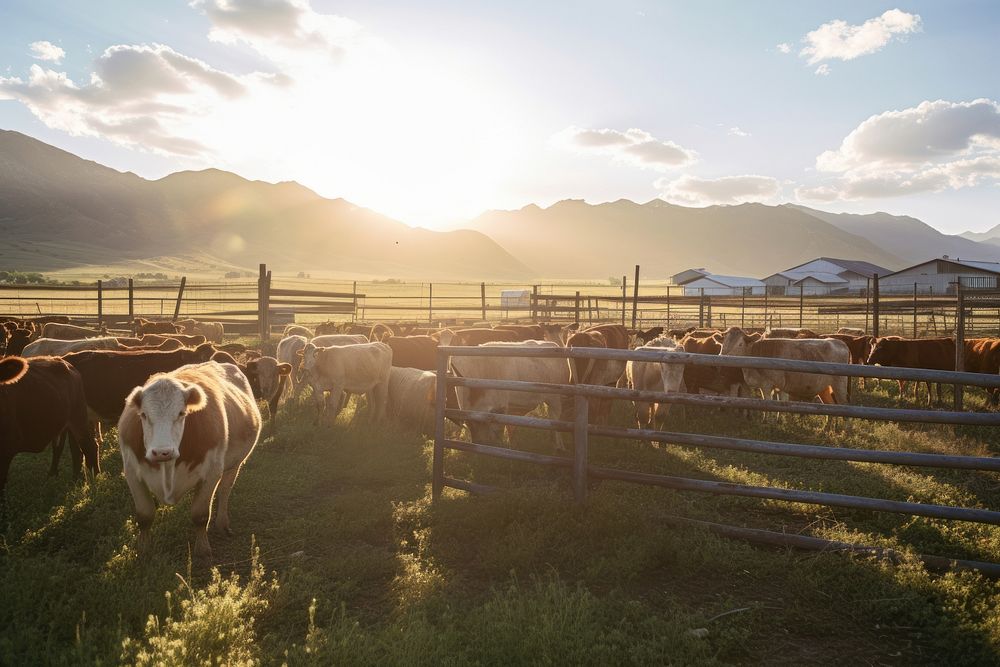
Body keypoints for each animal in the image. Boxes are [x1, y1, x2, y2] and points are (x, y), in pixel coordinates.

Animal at [0, 356, 100, 502]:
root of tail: (64, 362)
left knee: (90, 446)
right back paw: (60, 476)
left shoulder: (7, 448)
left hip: (78, 416)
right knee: (63, 448)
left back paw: (96, 478)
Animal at [118, 361, 261, 559]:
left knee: (225, 490)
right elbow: (145, 516)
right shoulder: (132, 472)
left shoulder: (212, 473)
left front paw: (203, 550)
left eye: (181, 413)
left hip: (235, 465)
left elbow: (200, 515)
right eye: (144, 415)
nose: (162, 452)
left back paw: (222, 523)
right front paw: (143, 550)